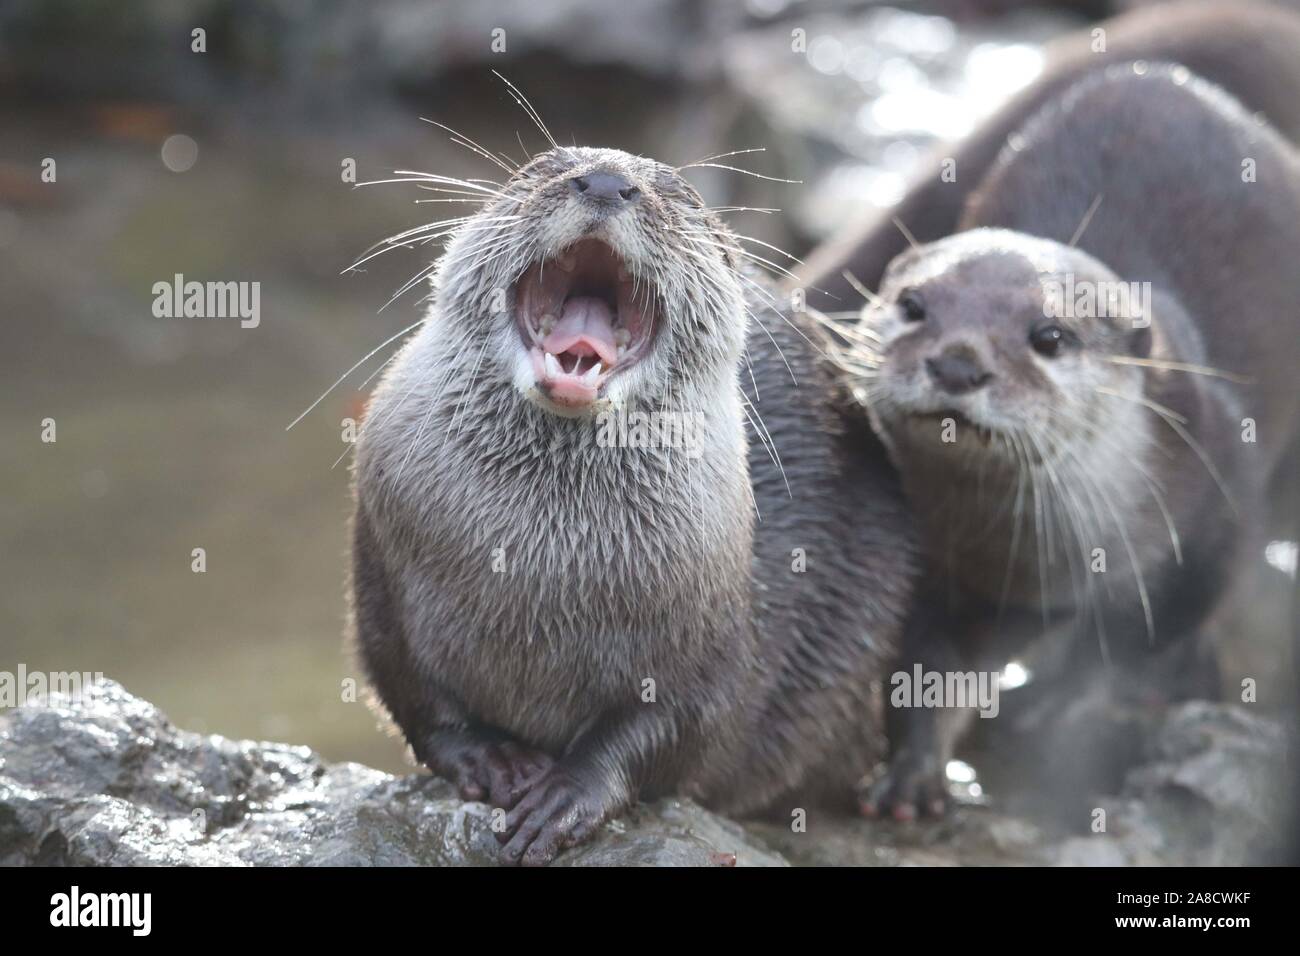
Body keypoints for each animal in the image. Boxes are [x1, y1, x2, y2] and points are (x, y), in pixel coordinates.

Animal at [351, 145, 916, 863]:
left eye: (679, 195)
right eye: (544, 167)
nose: (606, 182)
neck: (536, 573)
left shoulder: (719, 638)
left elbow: (677, 729)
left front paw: (568, 795)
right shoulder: (382, 580)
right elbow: (415, 698)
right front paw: (492, 758)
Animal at [843, 64, 1300, 817]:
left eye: (1050, 336)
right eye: (912, 306)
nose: (958, 364)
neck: (1030, 565)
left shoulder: (1214, 515)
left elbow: (1146, 635)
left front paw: (1064, 700)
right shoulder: (941, 569)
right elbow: (929, 668)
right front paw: (912, 773)